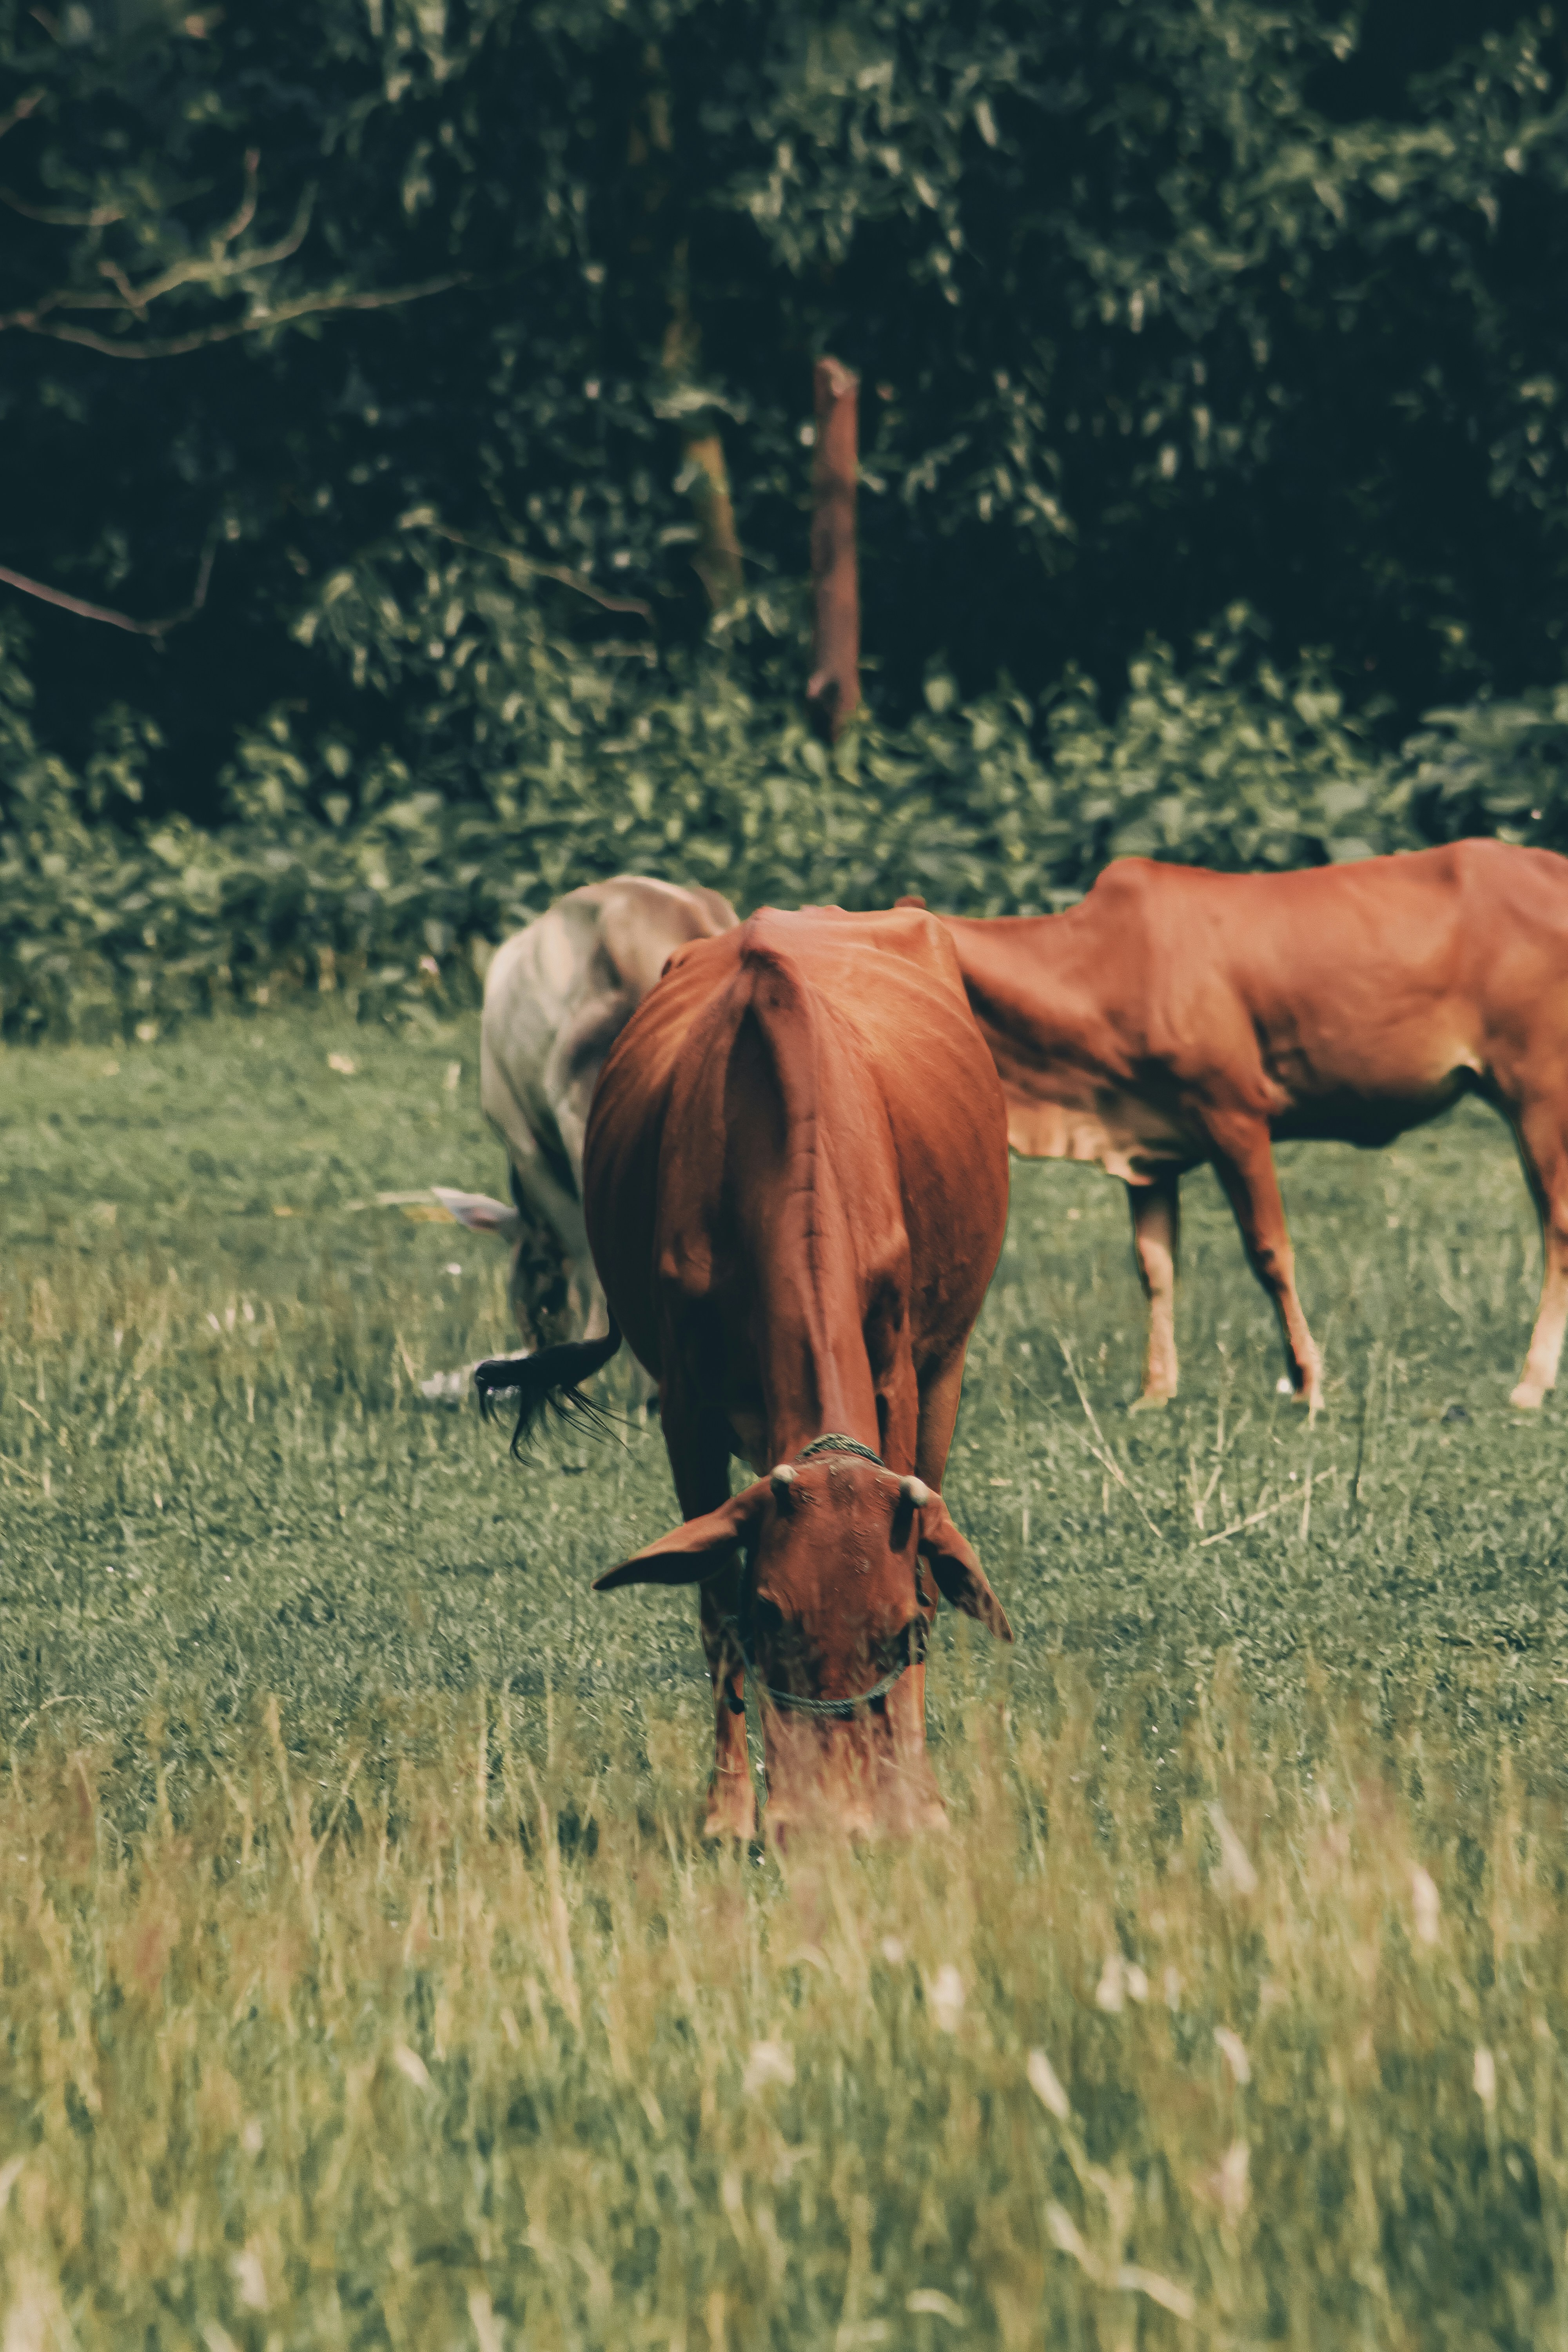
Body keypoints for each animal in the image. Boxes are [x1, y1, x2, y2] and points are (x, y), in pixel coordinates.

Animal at [473, 906, 1014, 1841]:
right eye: (772, 1614)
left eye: (899, 1633)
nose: (842, 1826)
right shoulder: (686, 1414)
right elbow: (711, 1606)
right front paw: (729, 1812)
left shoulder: (898, 1382)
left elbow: (923, 1570)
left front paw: (917, 1801)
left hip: (946, 1366)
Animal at [920, 840, 1568, 1412]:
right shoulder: (1147, 1148)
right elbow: (1154, 1266)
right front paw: (1155, 1392)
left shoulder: (1233, 1113)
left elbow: (1269, 1252)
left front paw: (1308, 1383)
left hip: (1538, 1086)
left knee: (1557, 1223)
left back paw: (1531, 1385)